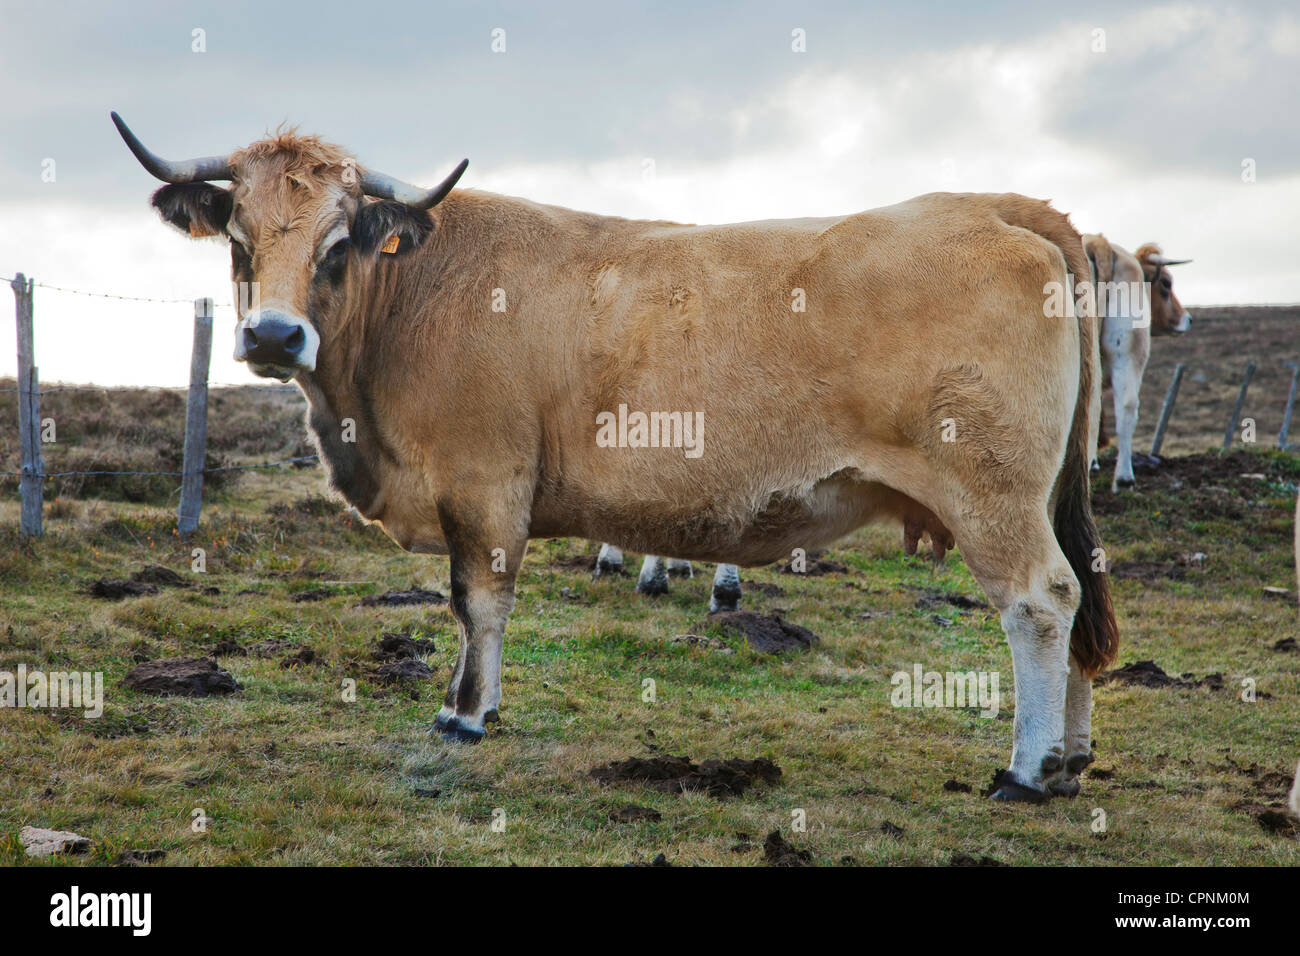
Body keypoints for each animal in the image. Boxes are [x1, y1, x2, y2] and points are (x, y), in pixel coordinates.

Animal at [113, 112, 1117, 802]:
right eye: (239, 239)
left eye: (335, 244)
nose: (272, 337)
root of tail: (1003, 207)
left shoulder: (483, 486)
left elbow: (478, 602)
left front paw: (464, 713)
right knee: (1078, 600)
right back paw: (1070, 757)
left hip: (992, 493)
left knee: (1042, 600)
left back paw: (1027, 770)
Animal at [1084, 234, 1192, 491]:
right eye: (1166, 283)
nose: (1188, 318)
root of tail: (1099, 243)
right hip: (1130, 352)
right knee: (1127, 406)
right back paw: (1124, 478)